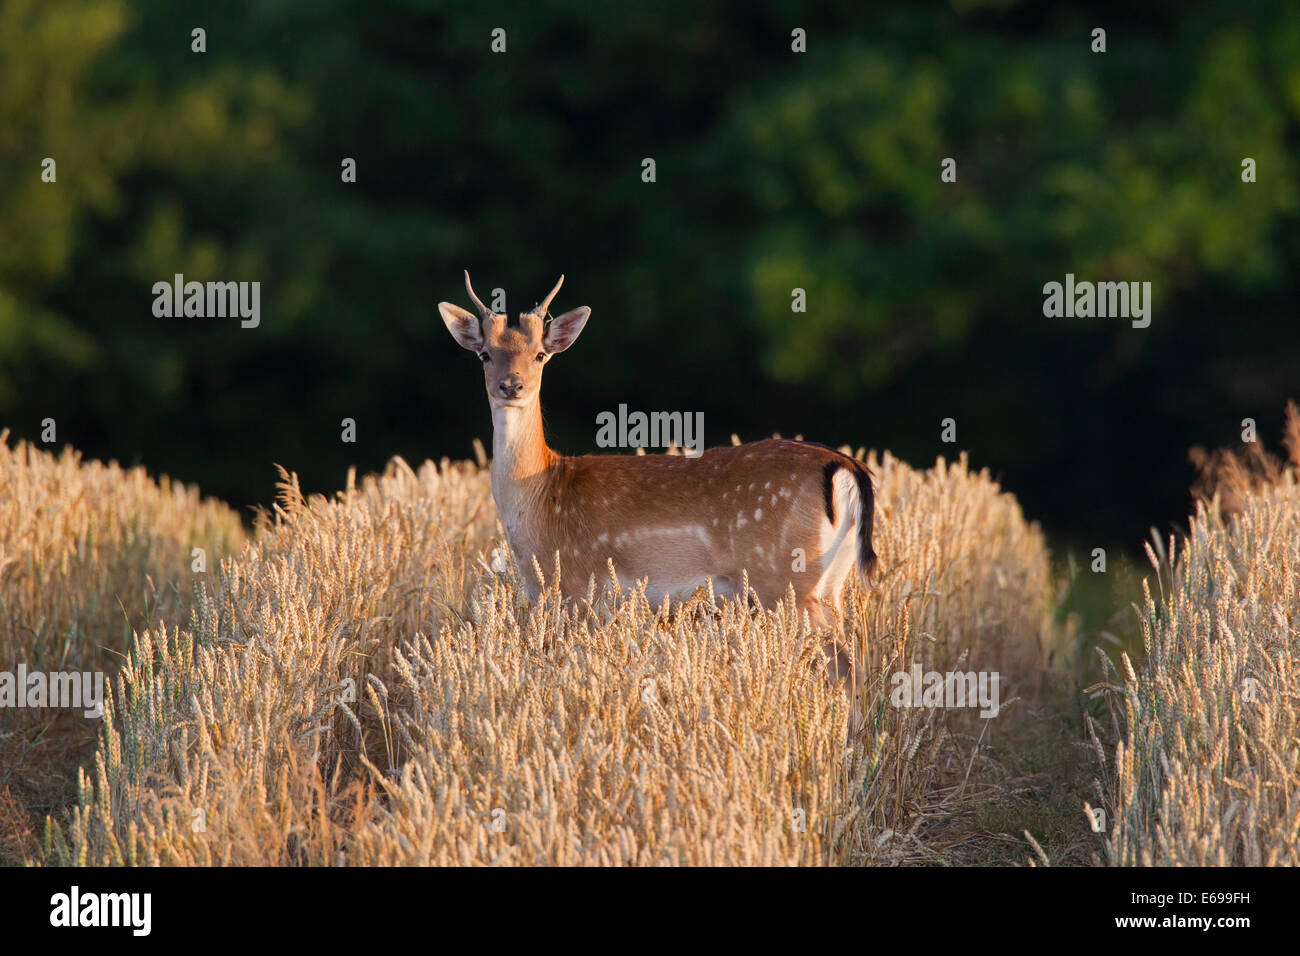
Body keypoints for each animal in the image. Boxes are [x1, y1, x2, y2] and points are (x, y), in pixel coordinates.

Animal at [439, 272, 878, 704]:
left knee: (846, 670)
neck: (541, 498)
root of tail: (847, 466)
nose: (511, 386)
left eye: (540, 355)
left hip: (786, 578)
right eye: (485, 354)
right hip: (830, 582)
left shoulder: (576, 589)